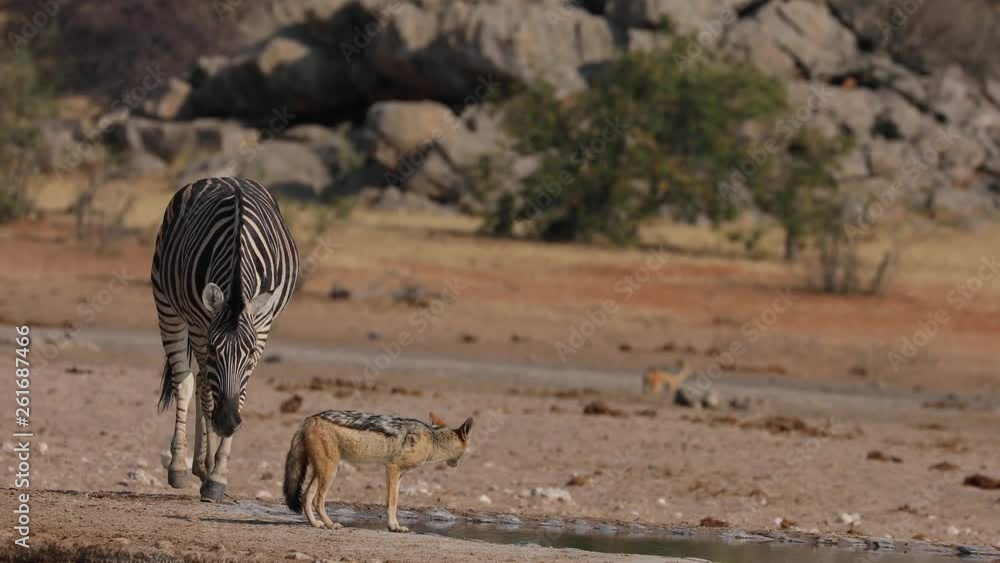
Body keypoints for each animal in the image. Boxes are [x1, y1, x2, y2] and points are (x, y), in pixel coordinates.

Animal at [152, 177, 299, 501]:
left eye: (249, 356)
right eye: (216, 352)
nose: (228, 422)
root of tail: (227, 178)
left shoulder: (261, 327)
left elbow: (237, 393)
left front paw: (218, 474)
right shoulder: (201, 328)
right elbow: (206, 394)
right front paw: (208, 470)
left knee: (199, 382)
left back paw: (202, 466)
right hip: (166, 303)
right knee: (187, 382)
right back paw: (183, 466)